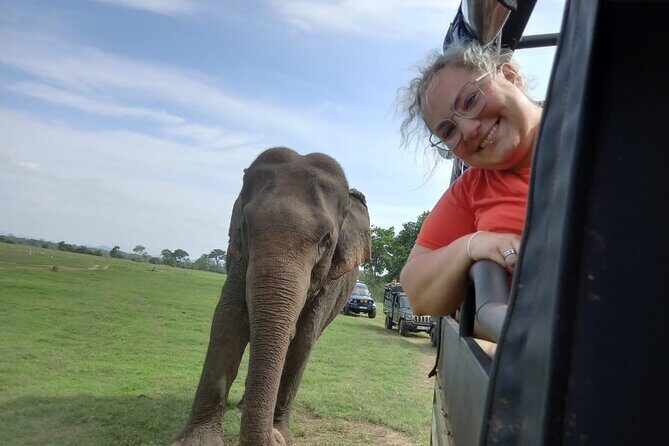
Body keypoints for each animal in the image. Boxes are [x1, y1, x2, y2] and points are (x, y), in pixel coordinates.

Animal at [173, 147, 371, 446]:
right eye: (245, 225)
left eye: (326, 240)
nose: (274, 437)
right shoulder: (238, 262)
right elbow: (228, 321)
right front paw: (198, 441)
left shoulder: (329, 285)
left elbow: (303, 340)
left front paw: (283, 434)